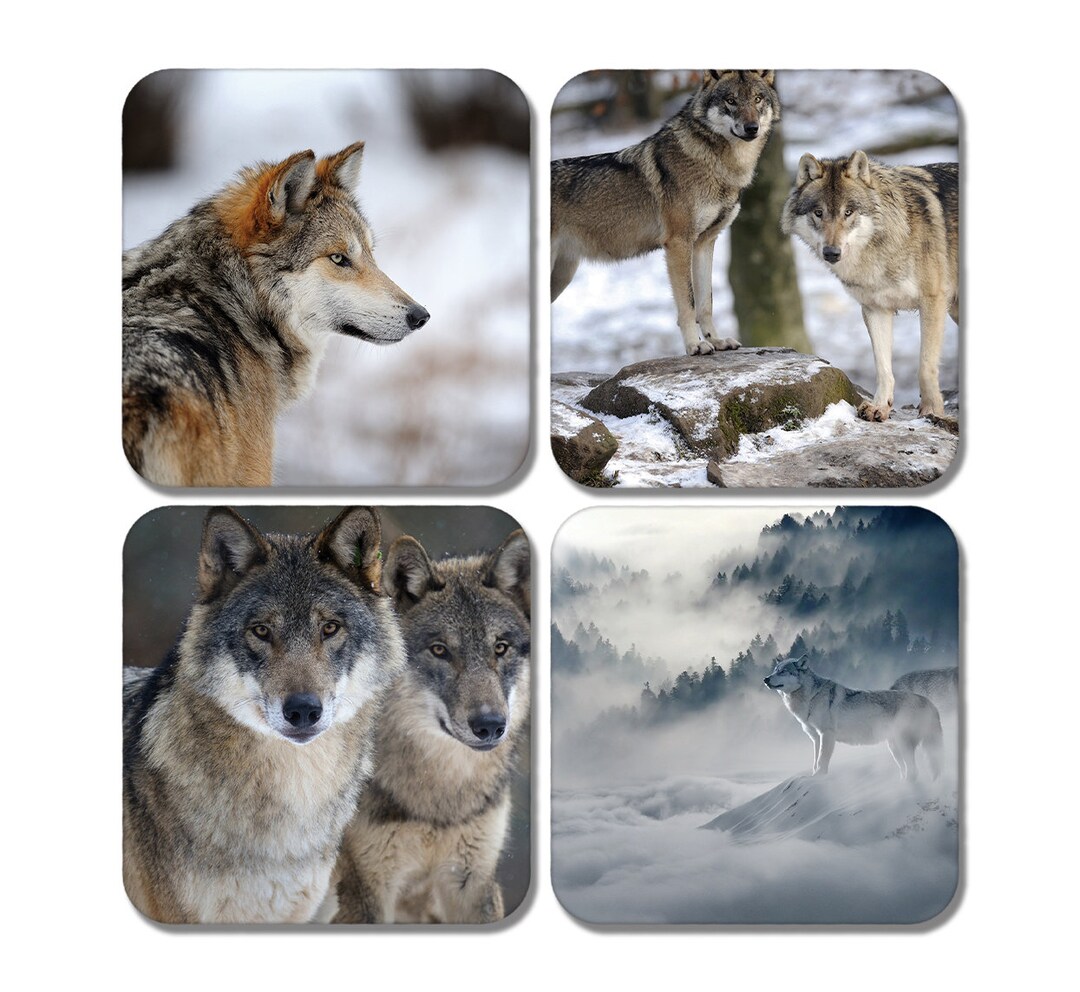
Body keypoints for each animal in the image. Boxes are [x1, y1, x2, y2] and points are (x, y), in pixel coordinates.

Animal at [332, 529, 531, 924]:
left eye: (500, 648)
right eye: (440, 650)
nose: (490, 725)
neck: (439, 803)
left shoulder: (472, 882)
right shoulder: (365, 891)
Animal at [551, 71, 779, 356]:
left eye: (758, 99)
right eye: (731, 100)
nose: (751, 128)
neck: (720, 167)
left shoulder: (704, 243)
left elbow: (706, 302)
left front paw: (715, 340)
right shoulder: (678, 244)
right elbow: (688, 303)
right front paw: (695, 345)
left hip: (562, 275)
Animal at [764, 655, 943, 781]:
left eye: (782, 671)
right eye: (774, 670)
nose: (765, 679)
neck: (810, 698)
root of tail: (929, 702)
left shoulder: (826, 734)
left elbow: (822, 760)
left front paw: (819, 777)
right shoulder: (815, 738)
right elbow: (815, 761)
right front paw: (812, 776)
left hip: (902, 744)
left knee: (914, 771)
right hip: (894, 748)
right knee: (907, 770)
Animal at [781, 150, 959, 421]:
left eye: (848, 212)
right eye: (819, 213)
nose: (831, 252)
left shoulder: (933, 301)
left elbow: (926, 365)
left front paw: (931, 410)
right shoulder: (875, 308)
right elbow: (883, 366)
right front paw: (879, 406)